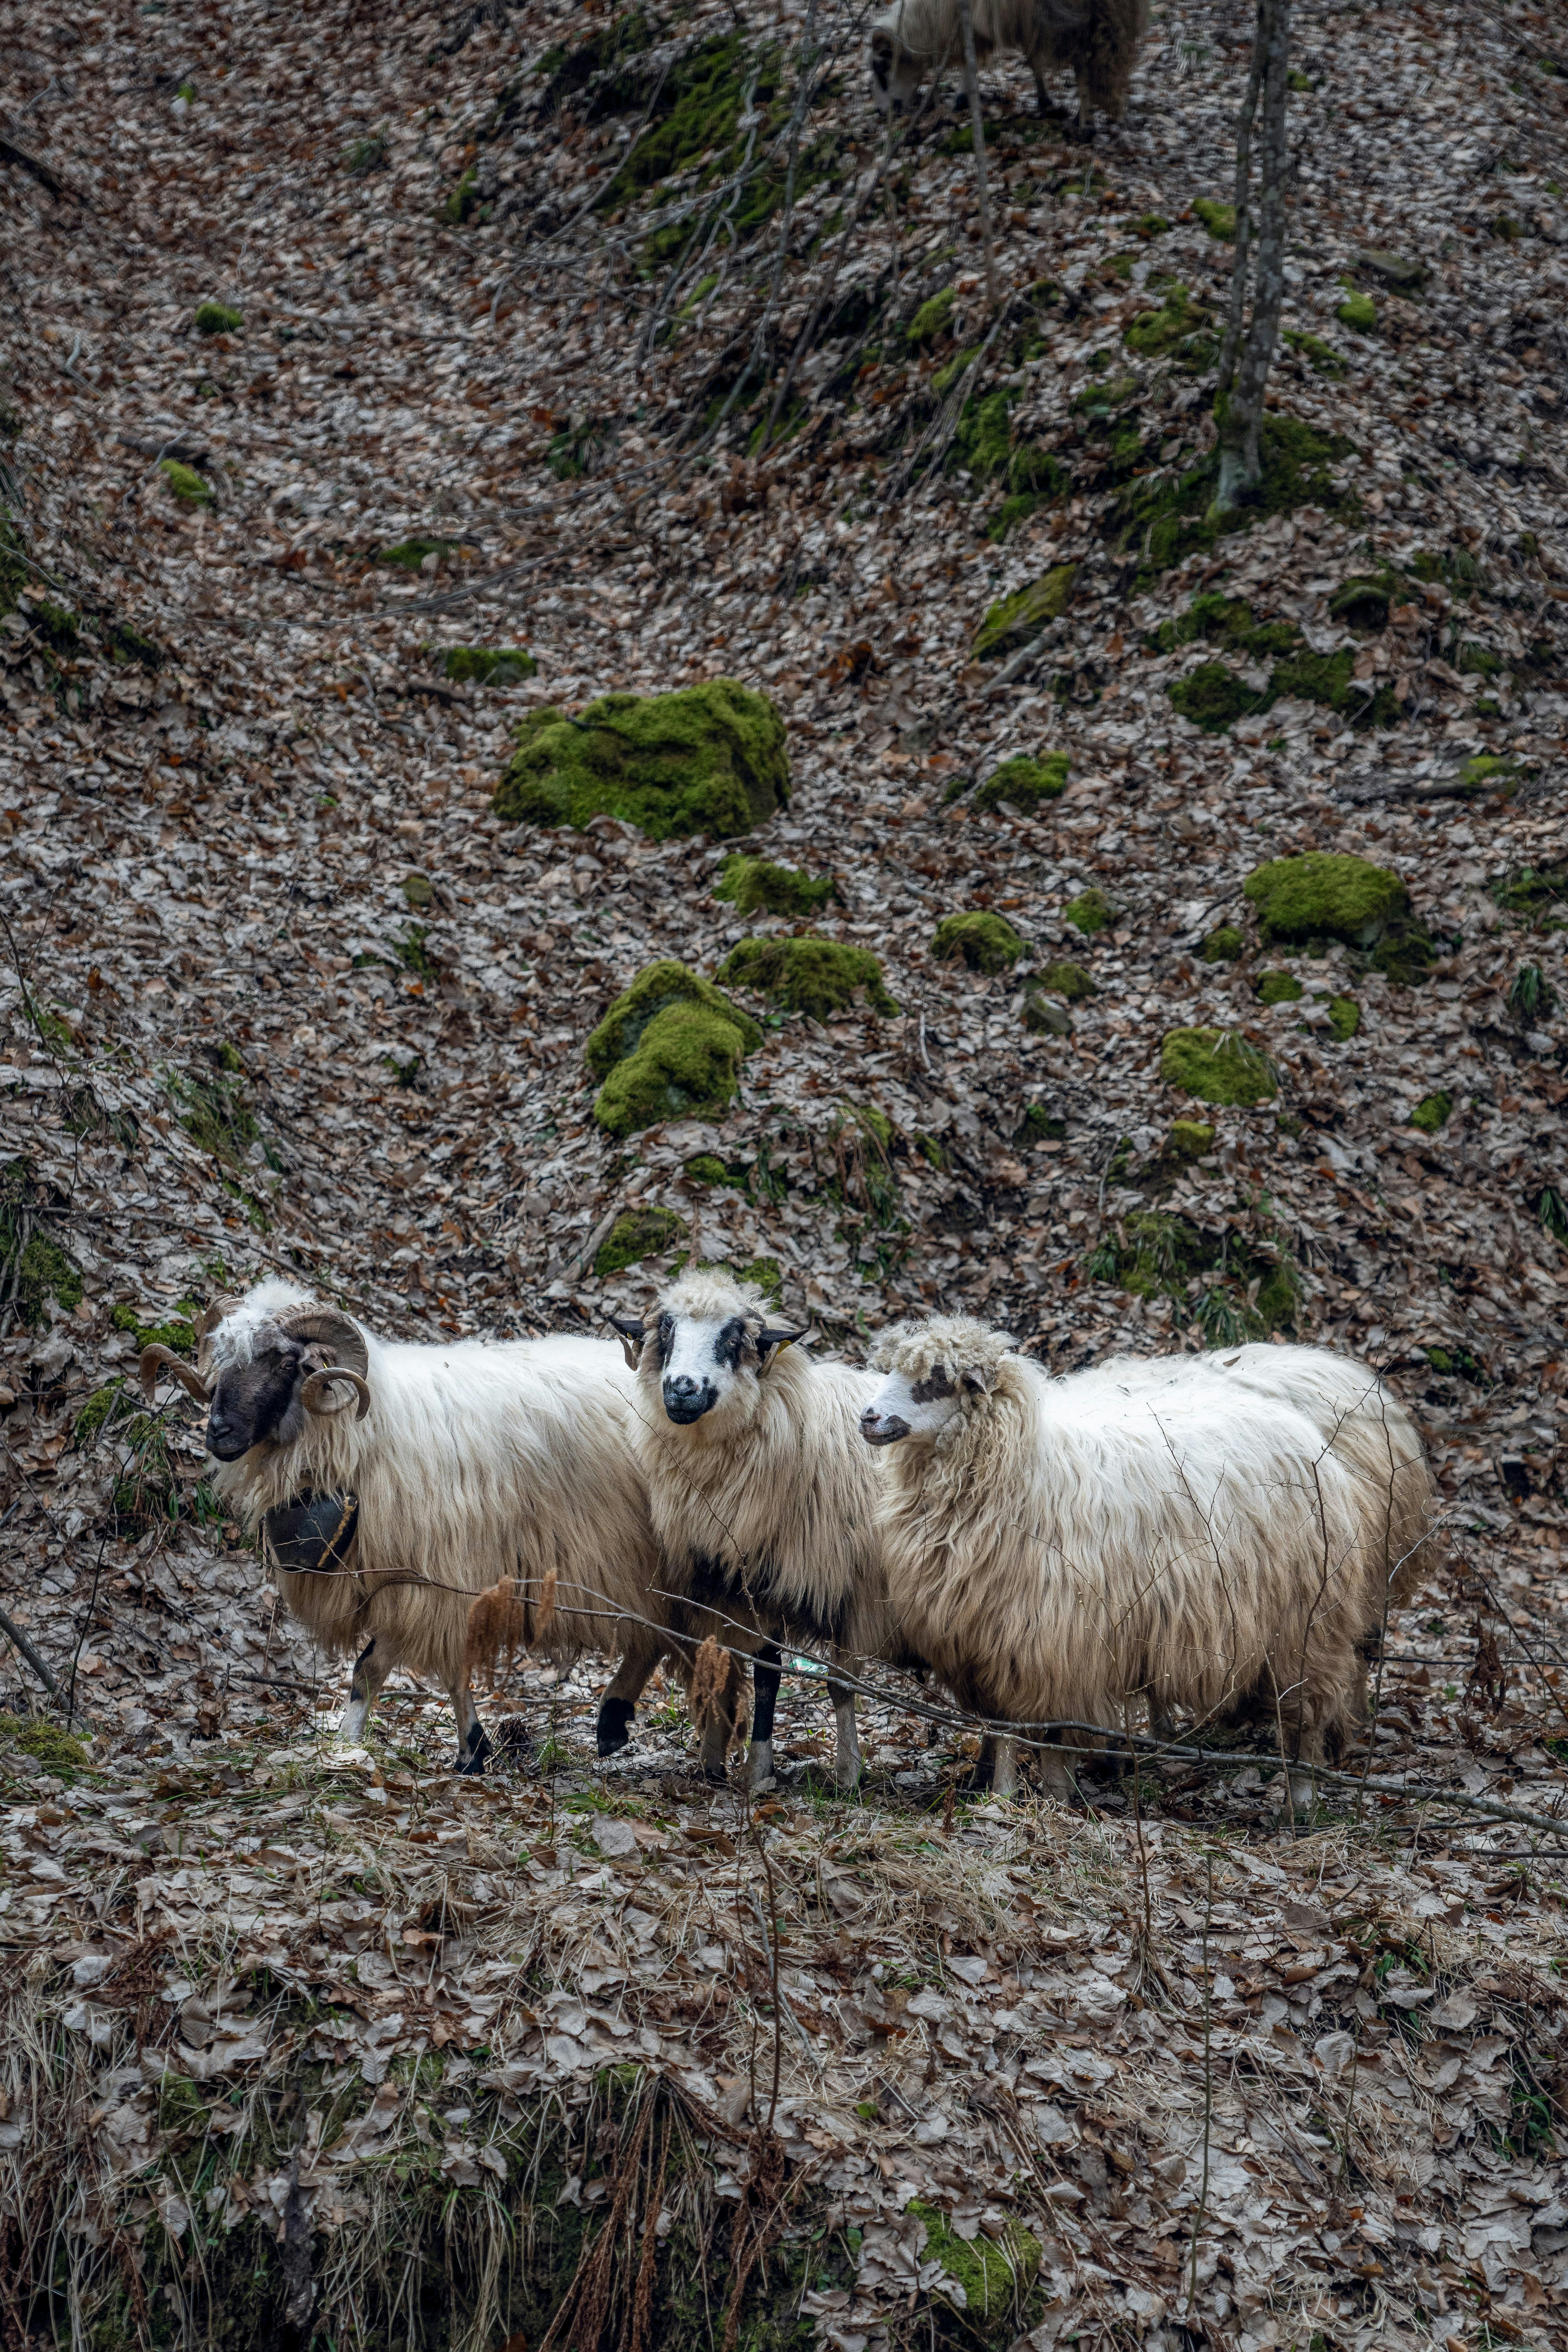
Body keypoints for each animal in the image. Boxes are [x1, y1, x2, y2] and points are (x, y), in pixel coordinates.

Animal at [139, 1279, 665, 1772]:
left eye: (285, 1362)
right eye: (221, 1354)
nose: (218, 1433)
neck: (364, 1433)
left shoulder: (428, 1580)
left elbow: (375, 1670)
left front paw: (354, 1746)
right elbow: (423, 1671)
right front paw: (466, 1750)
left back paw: (615, 1718)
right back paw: (614, 1723)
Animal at [609, 1268, 913, 1790]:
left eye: (732, 1338)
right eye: (666, 1331)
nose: (681, 1389)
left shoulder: (833, 1587)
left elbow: (827, 1684)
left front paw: (835, 1771)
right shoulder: (733, 1584)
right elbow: (742, 1668)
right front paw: (728, 1763)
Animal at [859, 1316, 1419, 1801]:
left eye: (936, 1379)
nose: (867, 1416)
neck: (1026, 1474)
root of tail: (1303, 1433)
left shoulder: (1053, 1647)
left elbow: (1047, 1736)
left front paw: (1048, 1798)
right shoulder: (983, 1643)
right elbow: (1002, 1731)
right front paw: (995, 1791)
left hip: (1306, 1620)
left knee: (1311, 1706)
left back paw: (1302, 1798)